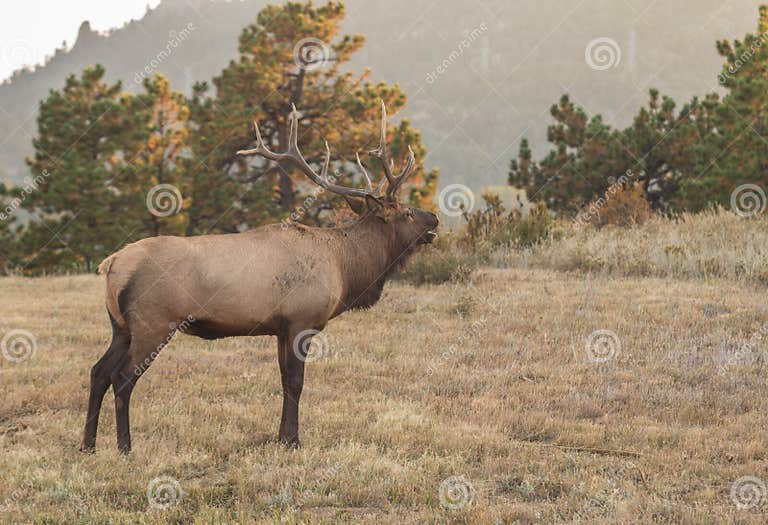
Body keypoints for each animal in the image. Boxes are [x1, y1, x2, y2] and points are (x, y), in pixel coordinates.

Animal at [80, 102, 439, 453]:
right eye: (408, 212)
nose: (434, 217)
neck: (345, 269)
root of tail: (112, 264)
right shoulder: (301, 320)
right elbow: (296, 382)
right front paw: (293, 440)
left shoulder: (281, 327)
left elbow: (283, 380)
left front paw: (280, 437)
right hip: (153, 322)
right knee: (123, 377)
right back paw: (125, 446)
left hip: (121, 326)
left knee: (98, 371)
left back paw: (88, 445)